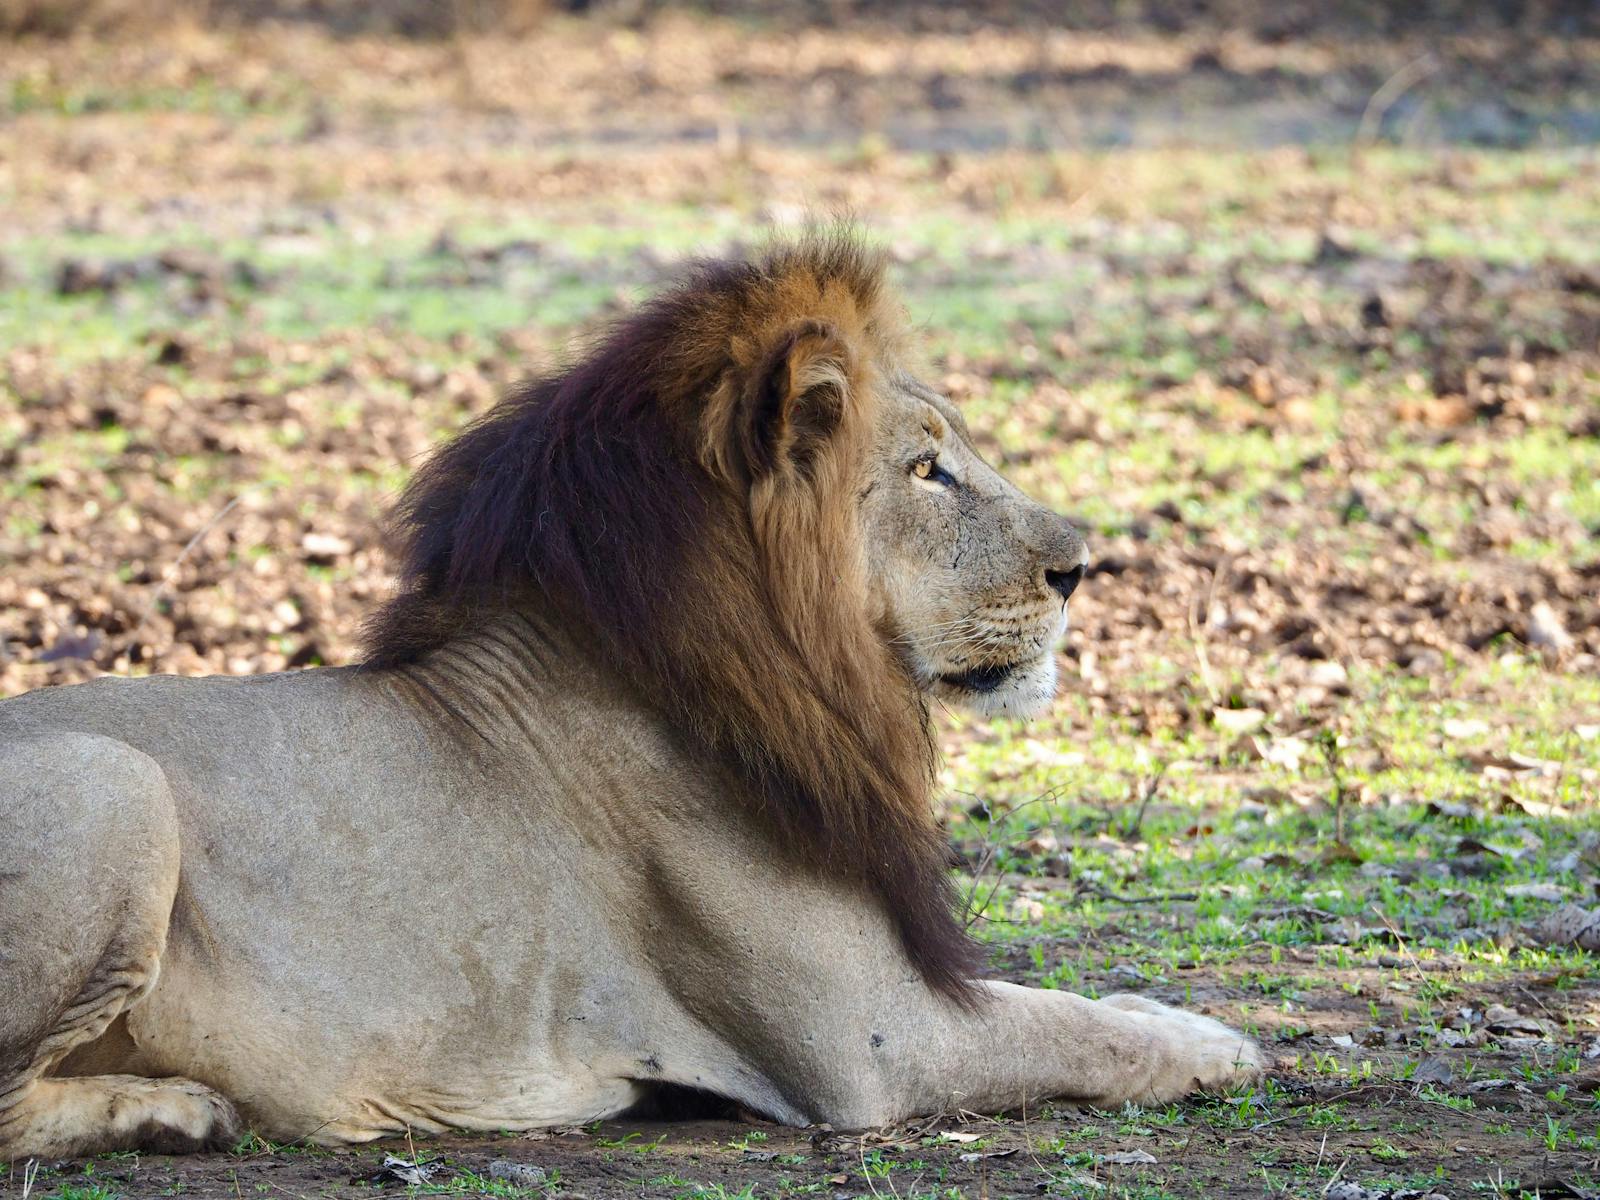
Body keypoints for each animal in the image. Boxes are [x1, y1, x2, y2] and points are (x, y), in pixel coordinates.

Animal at [0, 232, 1261, 1160]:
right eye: (925, 469)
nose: (1082, 565)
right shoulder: (872, 1041)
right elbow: (1075, 1031)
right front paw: (1225, 1046)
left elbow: (1073, 998)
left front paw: (1182, 1013)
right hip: (120, 787)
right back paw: (178, 1111)